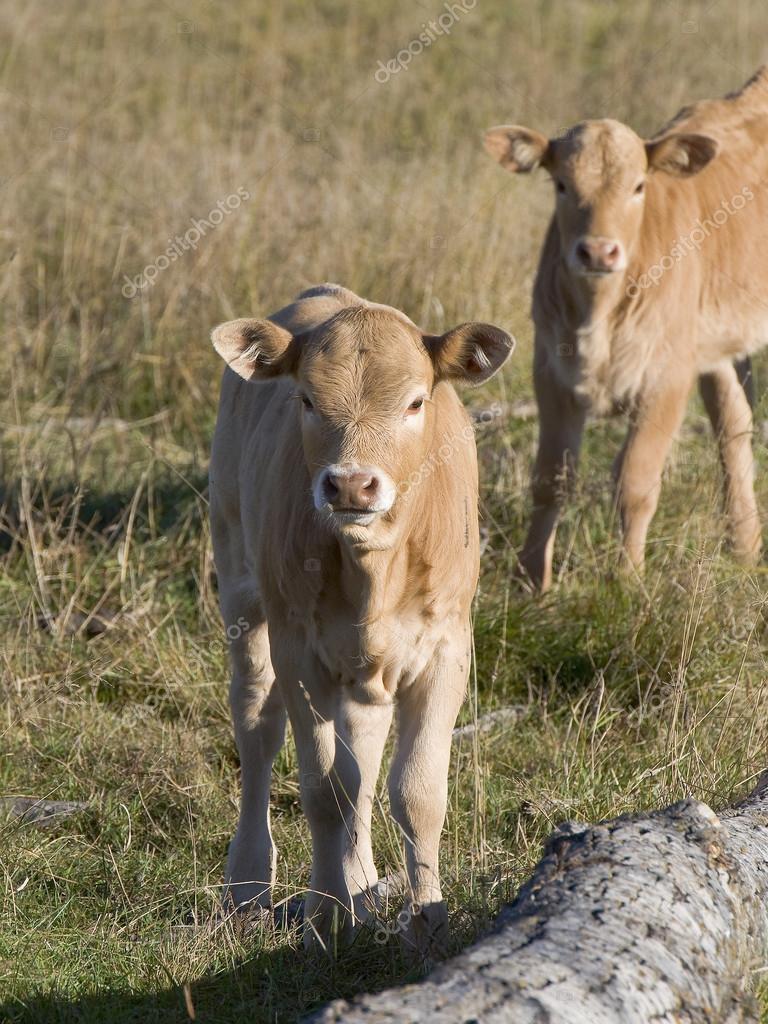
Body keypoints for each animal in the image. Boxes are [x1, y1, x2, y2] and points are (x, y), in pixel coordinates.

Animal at [209, 284, 513, 954]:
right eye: (306, 399)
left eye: (416, 401)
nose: (351, 486)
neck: (374, 570)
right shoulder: (299, 652)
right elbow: (323, 787)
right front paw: (326, 919)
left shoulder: (446, 649)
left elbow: (416, 791)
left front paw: (426, 919)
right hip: (241, 585)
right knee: (257, 723)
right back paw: (251, 885)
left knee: (364, 761)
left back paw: (363, 886)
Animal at [484, 67, 768, 591]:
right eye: (560, 184)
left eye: (638, 186)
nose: (598, 251)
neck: (598, 315)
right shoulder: (550, 371)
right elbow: (551, 478)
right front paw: (531, 578)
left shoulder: (666, 377)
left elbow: (635, 481)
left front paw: (627, 579)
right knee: (733, 424)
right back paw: (743, 547)